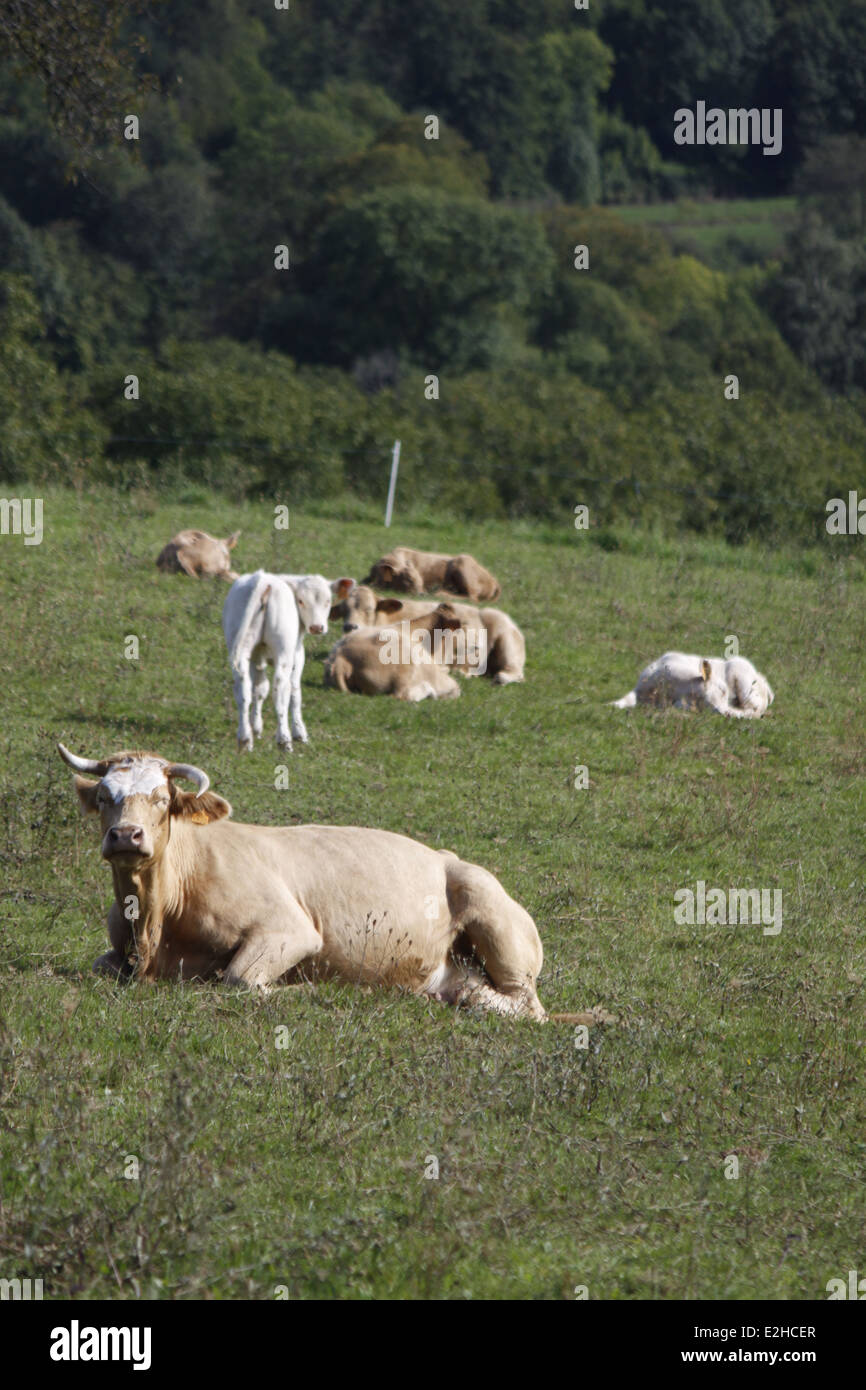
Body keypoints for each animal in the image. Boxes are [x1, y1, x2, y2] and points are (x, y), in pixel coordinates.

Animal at [56, 742, 598, 1024]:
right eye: (104, 796)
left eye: (161, 798)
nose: (126, 835)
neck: (156, 920)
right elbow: (100, 966)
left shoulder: (289, 930)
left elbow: (238, 979)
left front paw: (305, 989)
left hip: (494, 919)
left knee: (524, 1005)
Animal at [223, 570, 355, 750]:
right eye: (301, 600)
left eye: (328, 600)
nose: (317, 627)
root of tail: (262, 580)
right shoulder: (297, 655)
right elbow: (295, 692)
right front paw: (299, 732)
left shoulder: (257, 658)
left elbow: (259, 689)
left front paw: (256, 728)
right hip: (284, 652)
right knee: (280, 691)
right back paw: (284, 740)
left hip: (240, 648)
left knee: (243, 690)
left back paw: (244, 739)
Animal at [362, 546, 501, 602]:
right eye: (409, 580)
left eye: (418, 579)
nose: (422, 594)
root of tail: (494, 580)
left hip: (463, 563)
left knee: (472, 598)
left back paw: (440, 593)